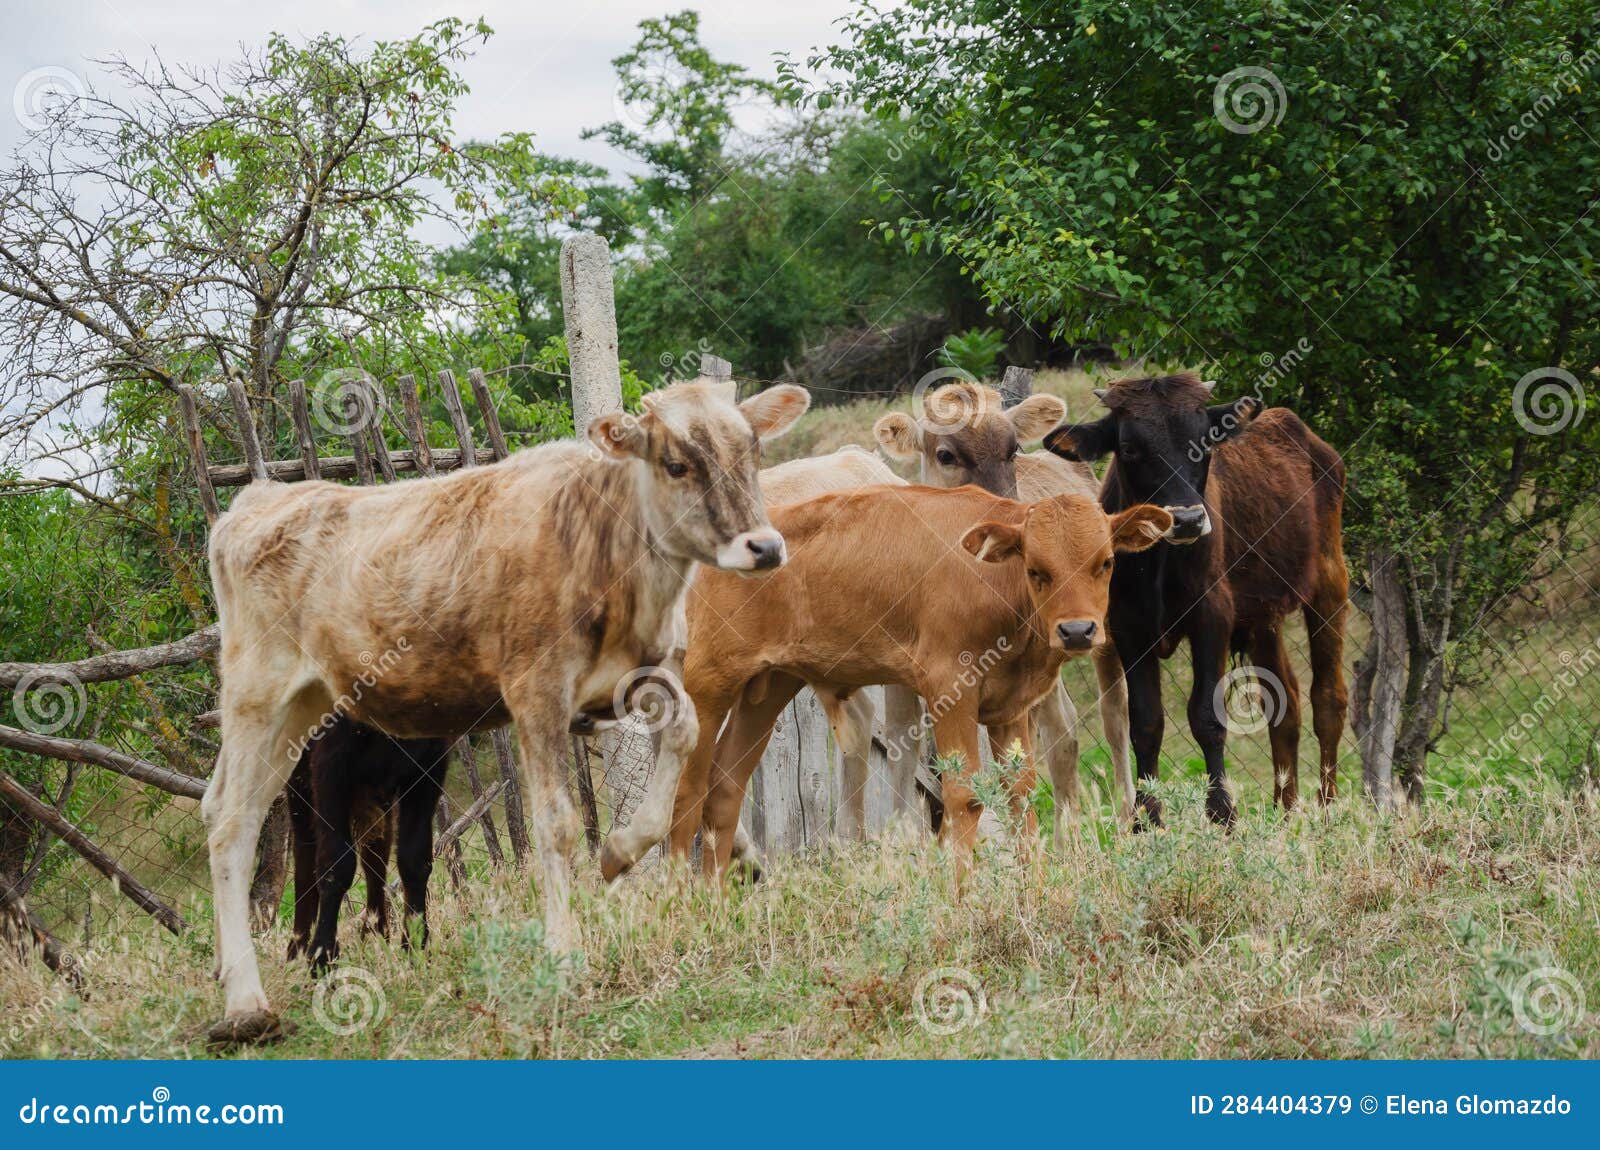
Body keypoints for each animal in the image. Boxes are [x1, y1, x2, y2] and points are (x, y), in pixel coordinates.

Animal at [284, 720, 450, 973]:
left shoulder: (429, 765)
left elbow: (415, 860)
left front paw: (416, 946)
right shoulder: (330, 766)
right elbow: (336, 863)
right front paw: (322, 956)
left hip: (378, 796)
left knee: (375, 857)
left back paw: (376, 934)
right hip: (299, 781)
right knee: (305, 853)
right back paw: (297, 950)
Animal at [604, 484, 1171, 880]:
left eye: (1106, 562)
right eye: (1036, 569)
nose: (1077, 631)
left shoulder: (1010, 707)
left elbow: (1022, 794)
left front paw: (1037, 892)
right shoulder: (949, 690)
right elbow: (964, 797)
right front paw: (960, 895)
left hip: (765, 687)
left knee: (724, 789)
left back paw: (716, 900)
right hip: (708, 683)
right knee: (687, 790)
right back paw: (680, 902)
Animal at [874, 382, 1135, 826]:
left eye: (1012, 450)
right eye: (946, 455)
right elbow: (903, 752)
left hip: (1101, 633)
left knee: (1101, 721)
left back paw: (1120, 821)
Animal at [1043, 372, 1349, 825]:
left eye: (1205, 443)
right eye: (1130, 449)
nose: (1186, 519)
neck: (1157, 564)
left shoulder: (1211, 618)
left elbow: (1206, 716)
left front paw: (1222, 813)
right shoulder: (1129, 629)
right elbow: (1145, 722)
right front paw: (1147, 817)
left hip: (1330, 583)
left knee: (1328, 698)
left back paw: (1326, 810)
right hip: (1263, 618)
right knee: (1286, 704)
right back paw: (1285, 810)